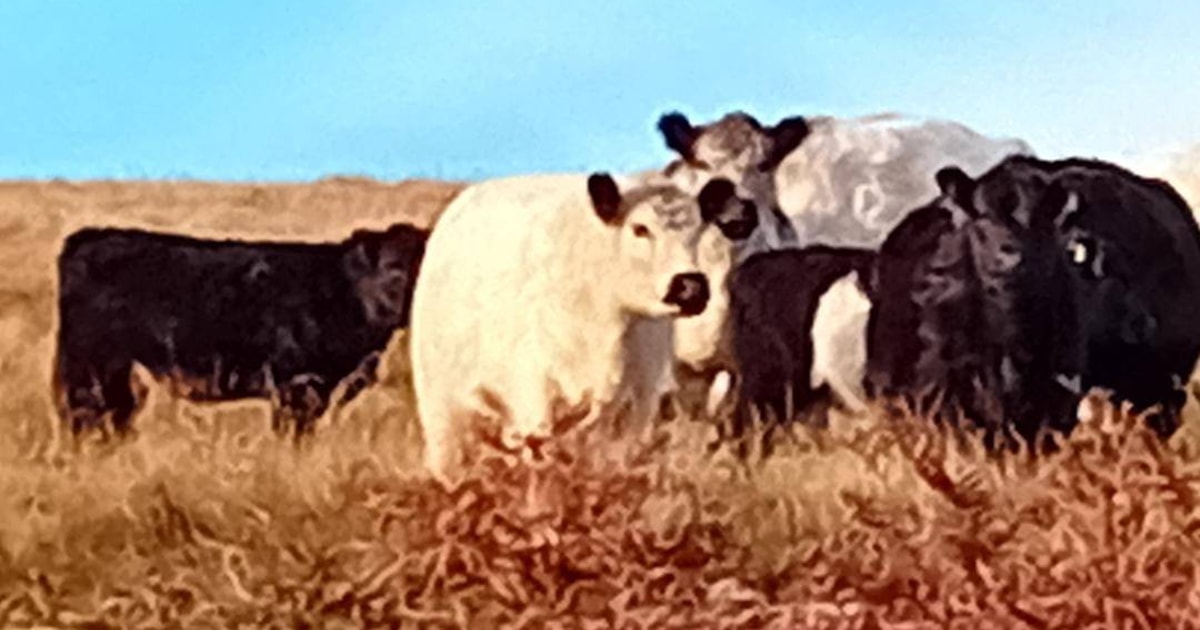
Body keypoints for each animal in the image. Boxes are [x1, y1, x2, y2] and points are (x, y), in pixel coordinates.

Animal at [54, 222, 429, 440]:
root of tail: (90, 236)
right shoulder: (294, 386)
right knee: (86, 415)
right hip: (93, 364)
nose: (393, 307)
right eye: (394, 269)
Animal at [408, 171, 755, 484]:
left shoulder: (637, 405)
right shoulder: (534, 394)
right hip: (444, 410)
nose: (690, 286)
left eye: (698, 231)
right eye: (640, 229)